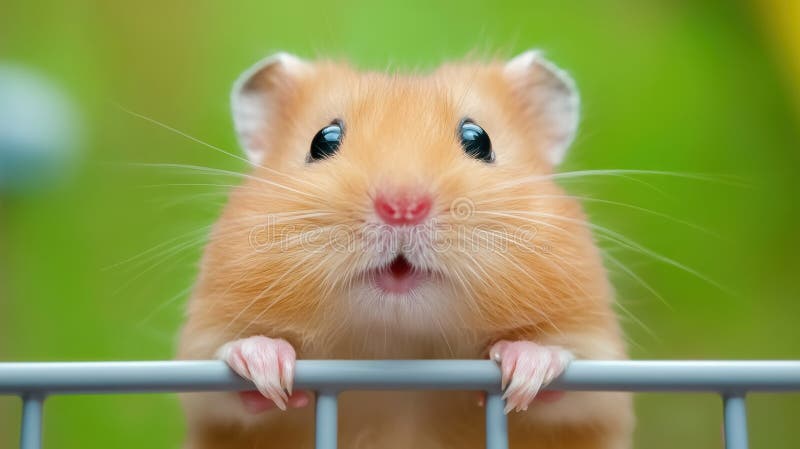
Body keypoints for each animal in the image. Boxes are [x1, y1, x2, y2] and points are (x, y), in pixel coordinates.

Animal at [177, 50, 634, 449]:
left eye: (479, 139)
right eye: (322, 140)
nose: (401, 208)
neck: (399, 347)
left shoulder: (599, 371)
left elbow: (562, 377)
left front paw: (523, 368)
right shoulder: (204, 375)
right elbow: (232, 379)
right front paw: (268, 366)